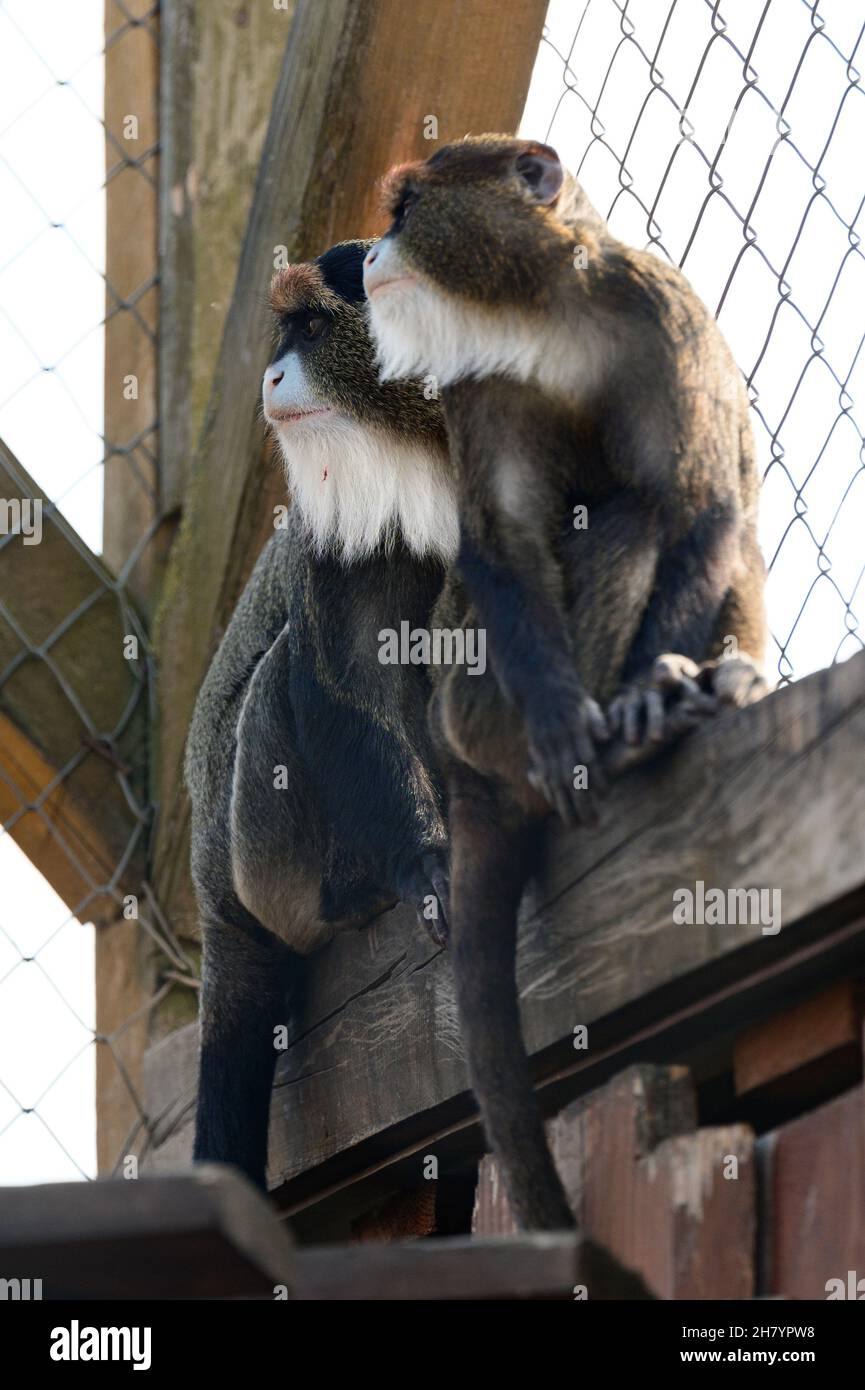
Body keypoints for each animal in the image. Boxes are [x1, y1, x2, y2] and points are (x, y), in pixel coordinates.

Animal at [186, 239, 457, 1190]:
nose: (272, 374)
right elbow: (342, 676)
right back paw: (357, 888)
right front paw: (425, 860)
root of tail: (211, 898)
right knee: (281, 675)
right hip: (262, 858)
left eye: (309, 329)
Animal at [363, 136, 769, 1230]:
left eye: (406, 211)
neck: (539, 304)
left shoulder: (660, 310)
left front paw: (649, 695)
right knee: (617, 524)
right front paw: (569, 718)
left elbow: (700, 499)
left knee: (648, 517)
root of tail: (466, 767)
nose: (368, 251)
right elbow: (506, 542)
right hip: (475, 712)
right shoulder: (476, 386)